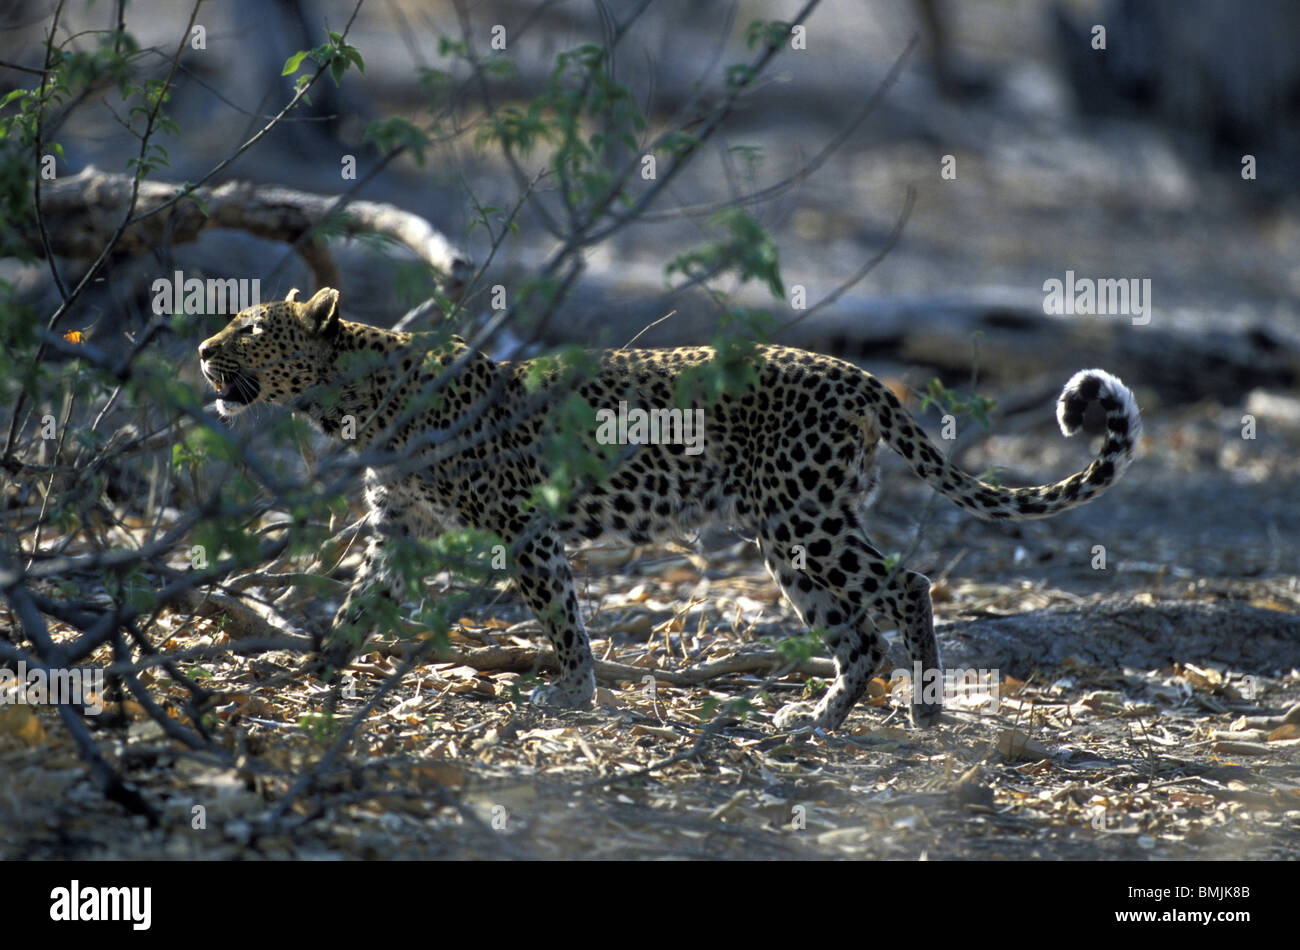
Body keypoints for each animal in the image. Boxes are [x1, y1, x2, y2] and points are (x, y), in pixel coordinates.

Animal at [198, 287, 1142, 731]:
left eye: (251, 331)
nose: (202, 348)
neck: (353, 401)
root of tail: (857, 373)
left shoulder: (524, 529)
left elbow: (563, 619)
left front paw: (570, 696)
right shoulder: (399, 529)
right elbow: (359, 606)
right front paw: (312, 670)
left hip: (804, 518)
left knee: (905, 585)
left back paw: (925, 708)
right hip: (788, 535)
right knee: (856, 632)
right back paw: (818, 719)